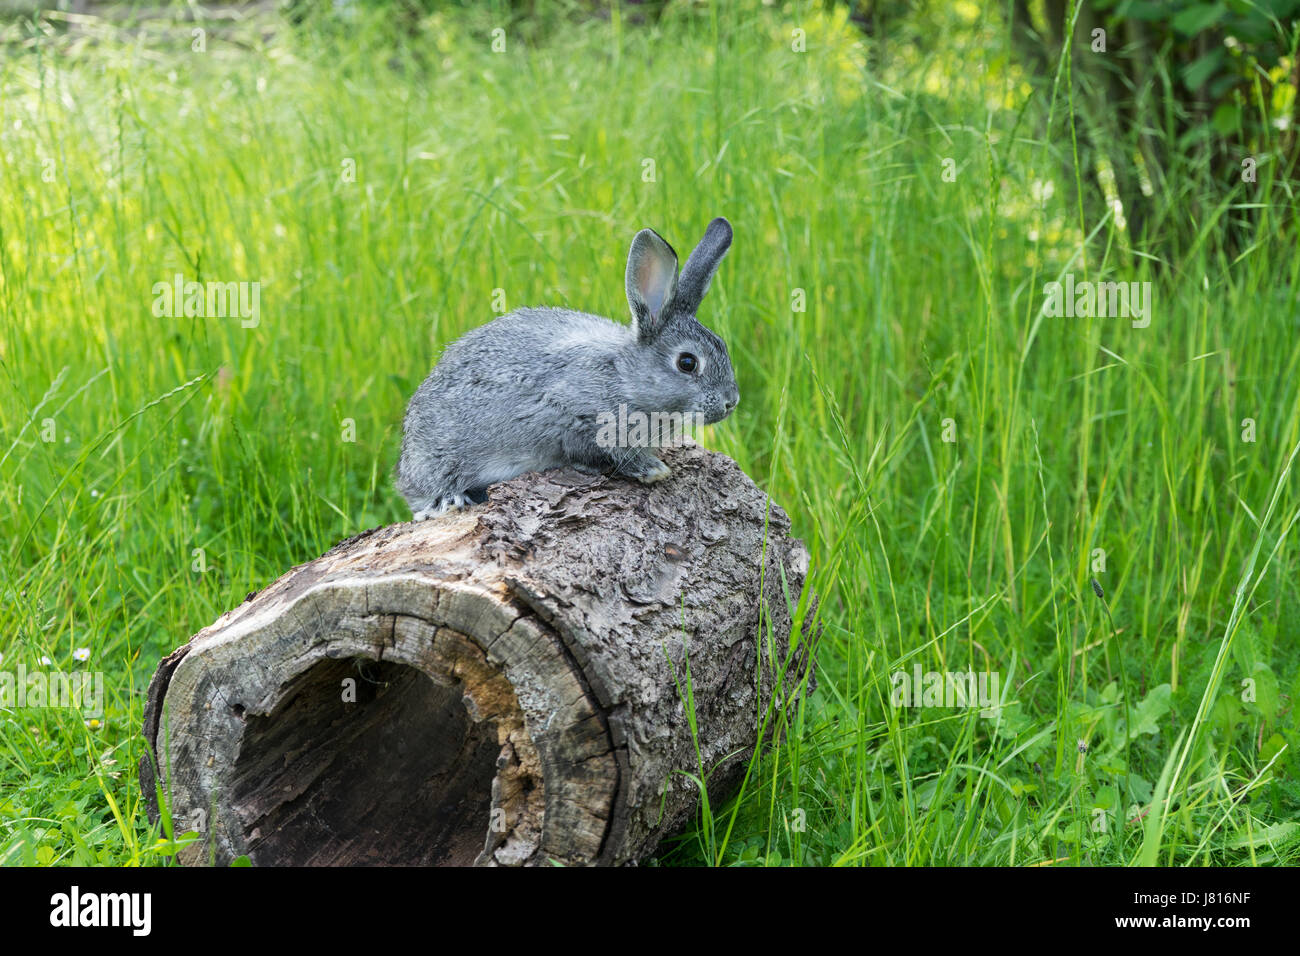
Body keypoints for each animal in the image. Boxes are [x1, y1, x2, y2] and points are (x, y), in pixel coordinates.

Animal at [396, 217, 739, 520]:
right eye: (687, 362)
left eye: (723, 346)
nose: (730, 402)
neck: (623, 377)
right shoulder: (571, 412)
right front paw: (653, 470)